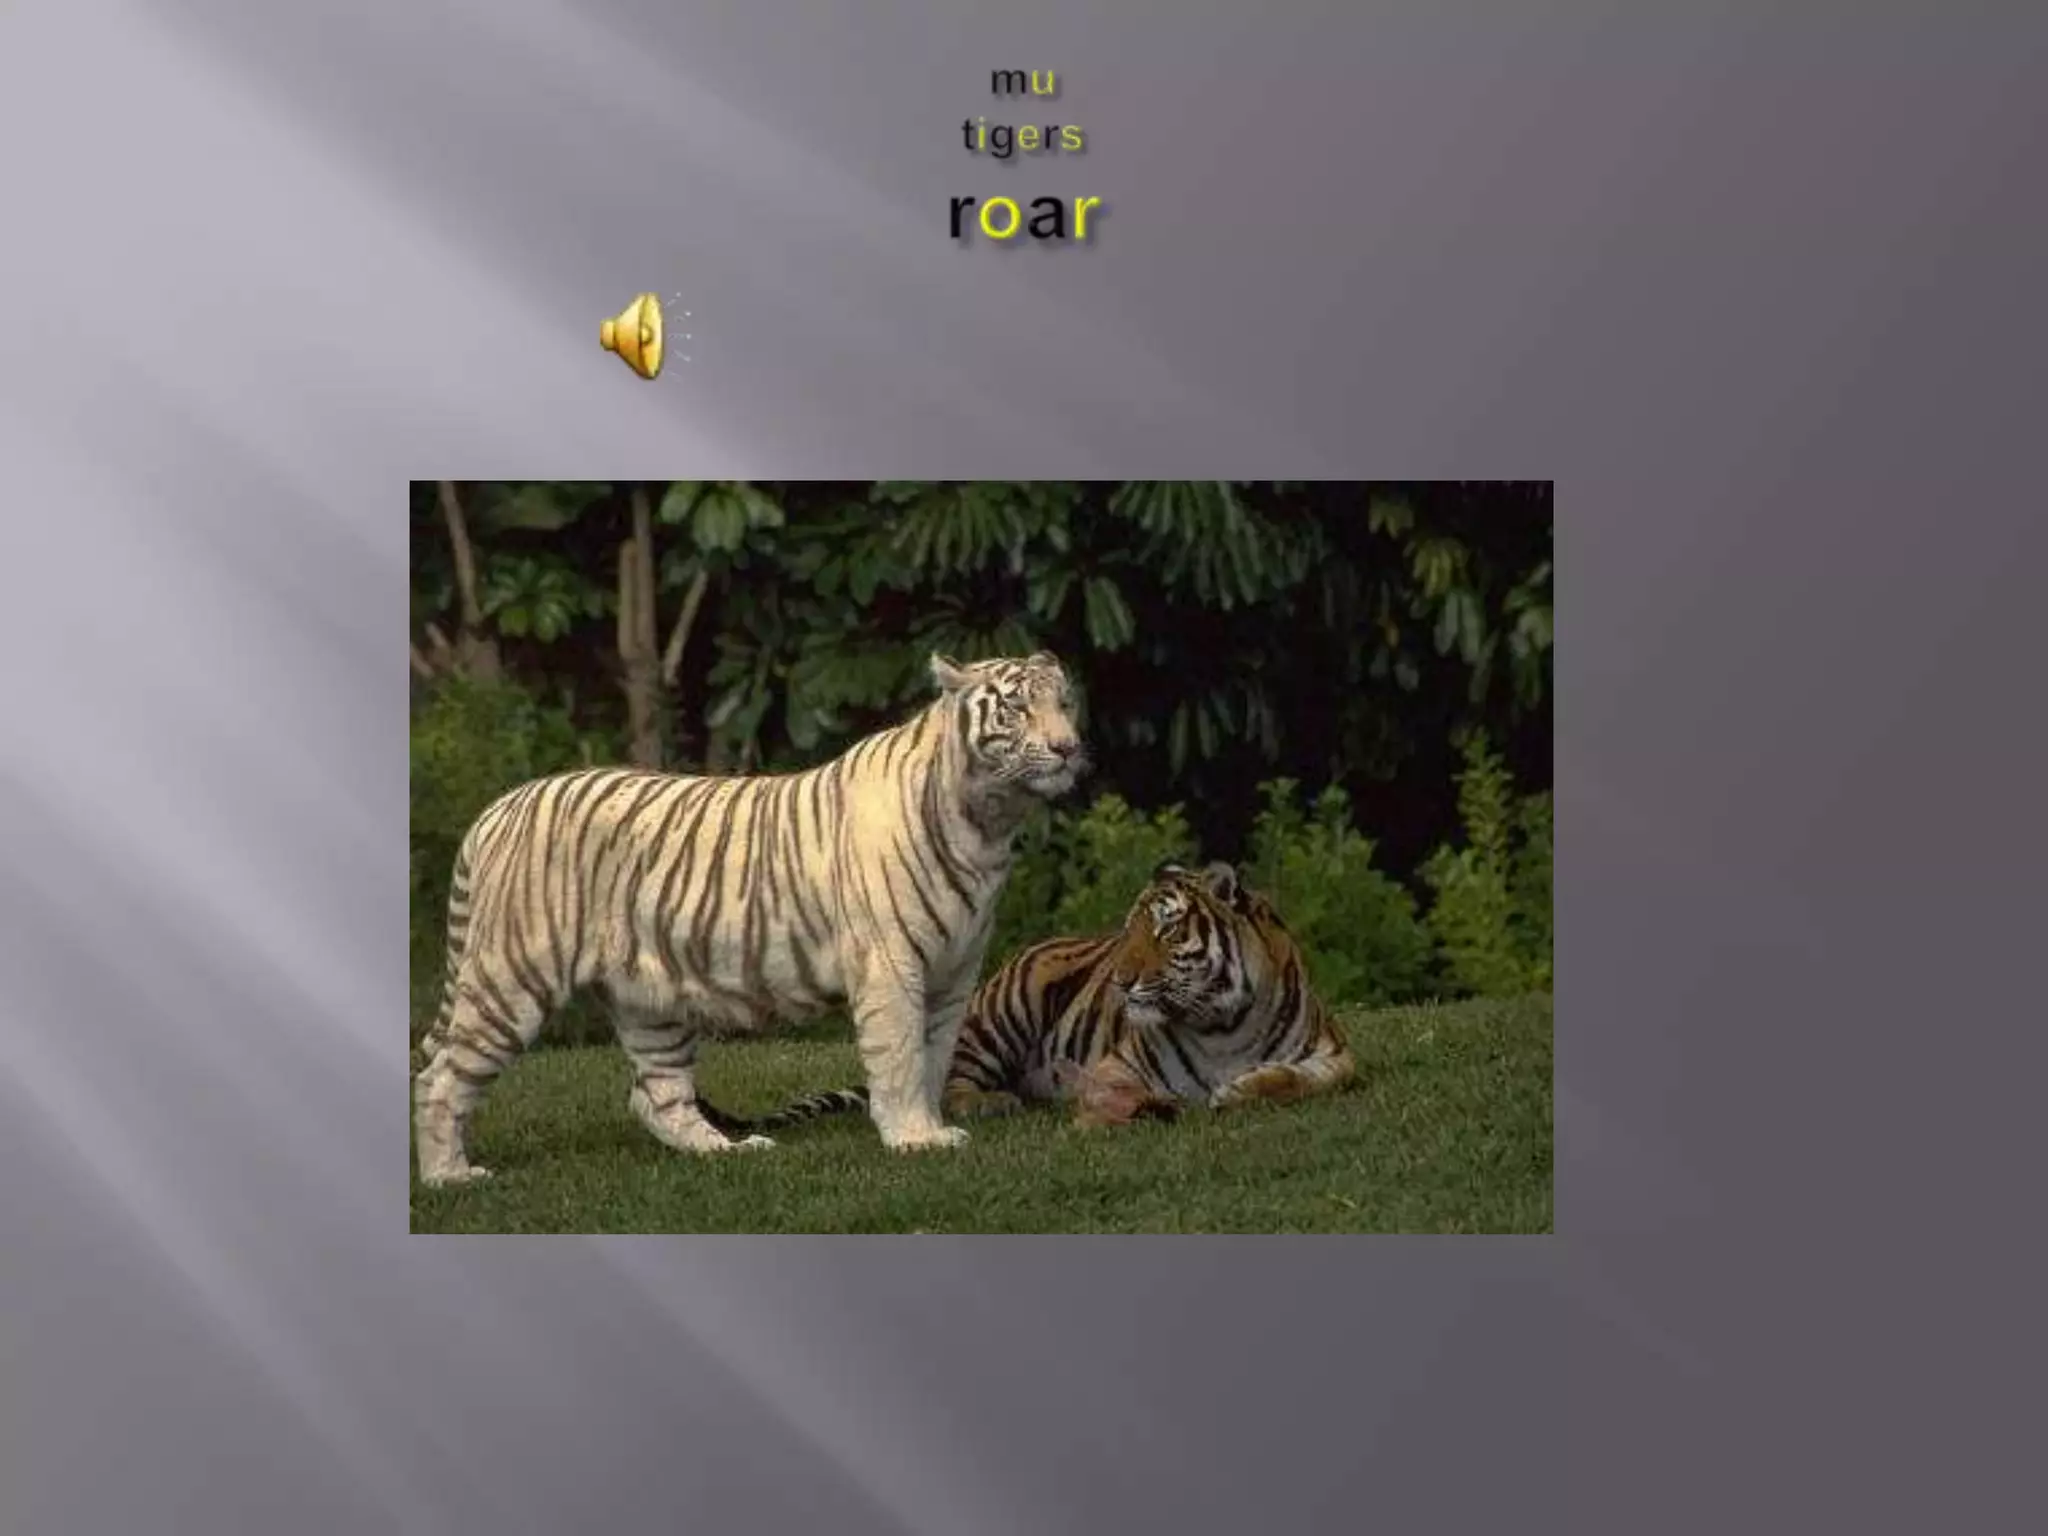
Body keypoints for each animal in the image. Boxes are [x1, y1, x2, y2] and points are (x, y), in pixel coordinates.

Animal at [412, 650, 1086, 1187]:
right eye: (1017, 709)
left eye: (1065, 704)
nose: (1068, 748)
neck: (988, 822)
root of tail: (499, 807)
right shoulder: (891, 965)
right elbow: (899, 1055)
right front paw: (913, 1140)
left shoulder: (954, 972)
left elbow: (935, 1053)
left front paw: (933, 1127)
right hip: (512, 978)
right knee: (440, 1076)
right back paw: (451, 1177)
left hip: (649, 1000)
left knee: (656, 1097)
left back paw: (731, 1151)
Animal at [703, 859, 1354, 1136]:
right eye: (1129, 931)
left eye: (1166, 930)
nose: (1119, 980)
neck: (1223, 1024)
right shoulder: (1116, 1064)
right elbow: (1127, 1091)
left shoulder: (1339, 1055)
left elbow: (1305, 1080)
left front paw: (1244, 1088)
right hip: (1003, 1014)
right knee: (951, 1085)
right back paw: (995, 1102)